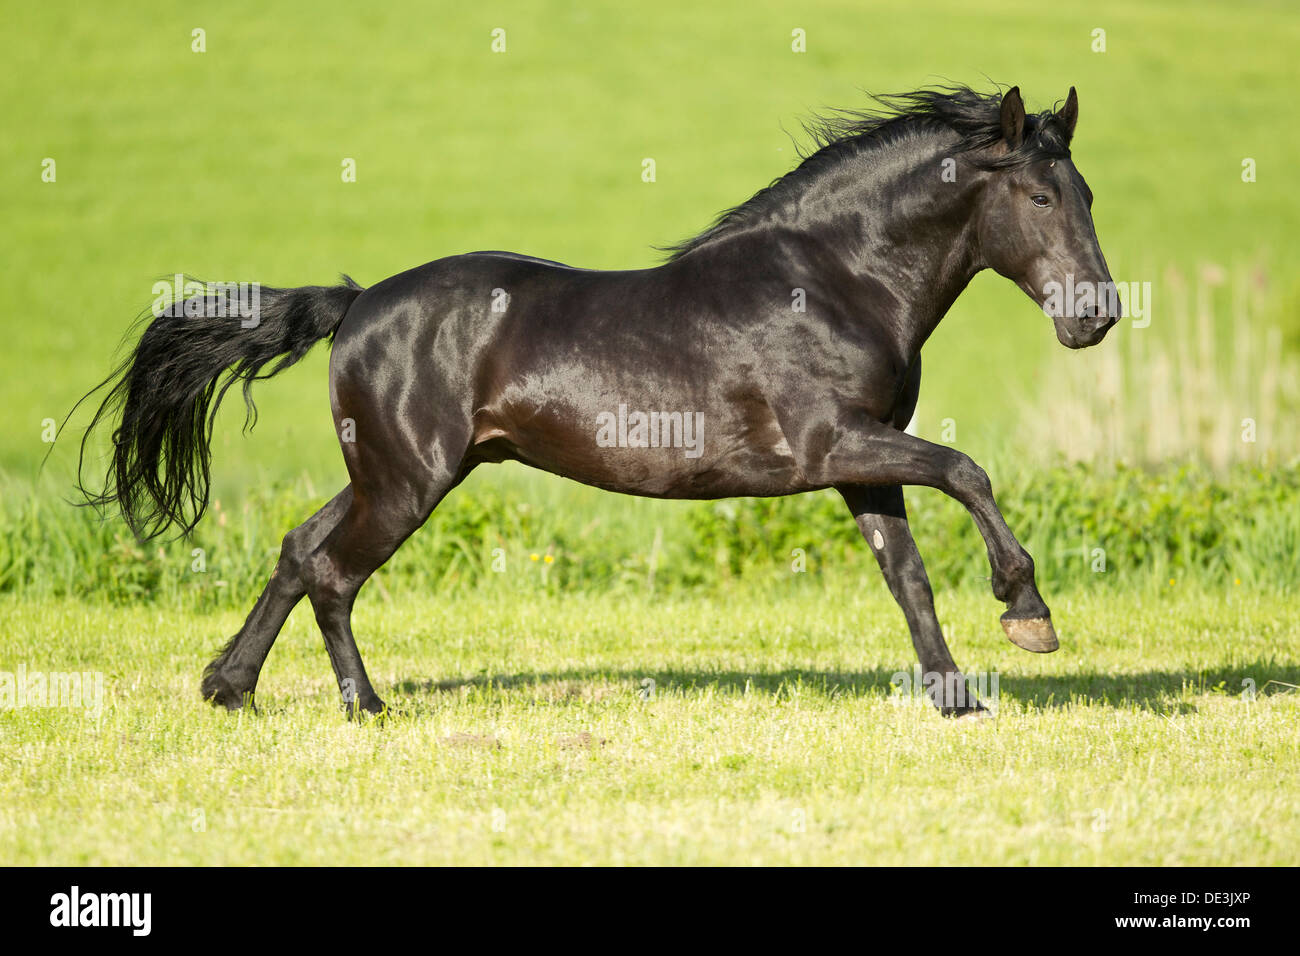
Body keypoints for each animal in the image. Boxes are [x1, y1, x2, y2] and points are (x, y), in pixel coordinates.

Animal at [75, 84, 1118, 718]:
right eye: (1037, 196)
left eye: (1089, 193)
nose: (1098, 315)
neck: (831, 280)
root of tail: (357, 303)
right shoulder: (836, 444)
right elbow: (966, 471)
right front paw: (1029, 614)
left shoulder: (863, 460)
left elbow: (906, 573)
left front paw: (953, 693)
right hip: (408, 481)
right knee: (333, 572)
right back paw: (364, 707)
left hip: (391, 471)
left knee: (298, 549)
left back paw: (229, 685)